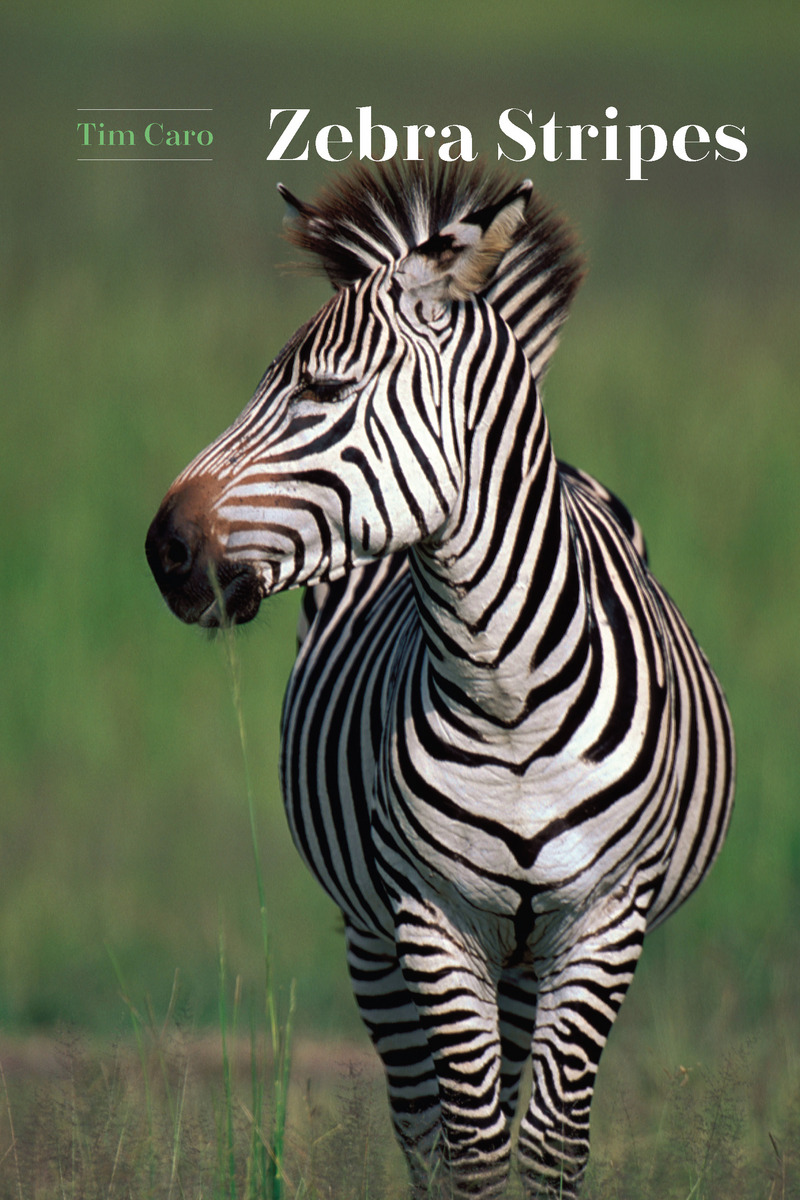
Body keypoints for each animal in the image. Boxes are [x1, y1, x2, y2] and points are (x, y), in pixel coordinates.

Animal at [145, 160, 735, 1198]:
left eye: (322, 390)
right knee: (422, 1124)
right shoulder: (430, 917)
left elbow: (547, 1146)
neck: (507, 694)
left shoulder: (603, 917)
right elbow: (470, 1147)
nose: (162, 551)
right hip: (375, 937)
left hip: (527, 954)